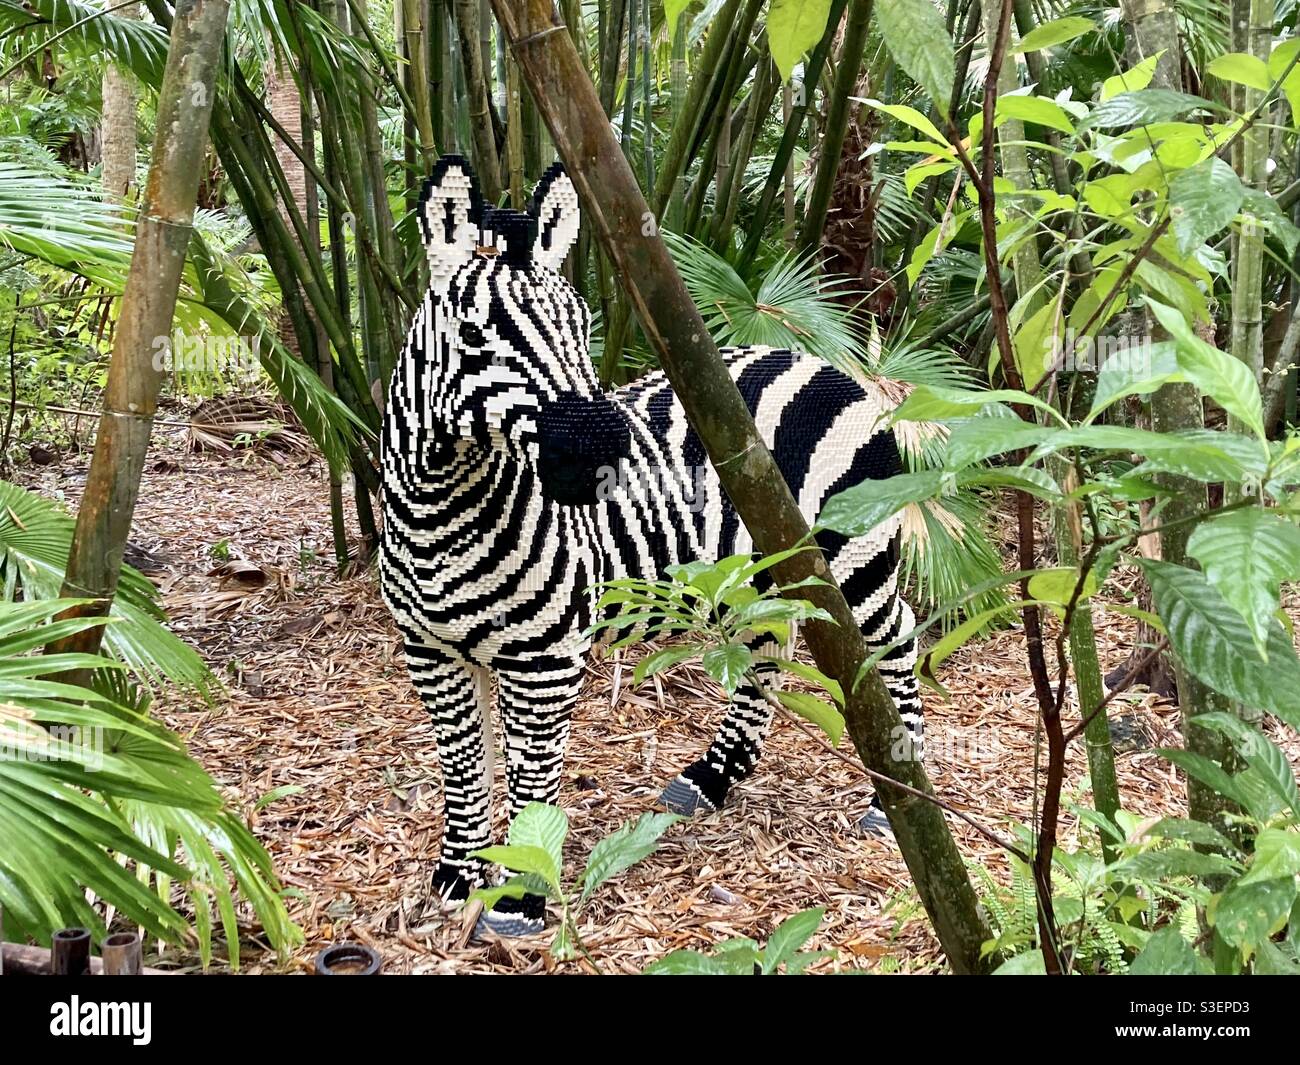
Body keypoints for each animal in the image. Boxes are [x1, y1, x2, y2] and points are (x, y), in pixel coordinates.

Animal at [380, 156, 922, 937]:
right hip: (759, 569)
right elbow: (461, 768)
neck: (441, 513)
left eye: (579, 324)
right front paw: (460, 872)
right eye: (478, 336)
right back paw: (711, 778)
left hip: (853, 560)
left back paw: (893, 790)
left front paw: (518, 896)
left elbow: (532, 776)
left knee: (897, 641)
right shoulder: (428, 651)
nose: (611, 450)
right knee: (767, 648)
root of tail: (819, 361)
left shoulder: (546, 659)